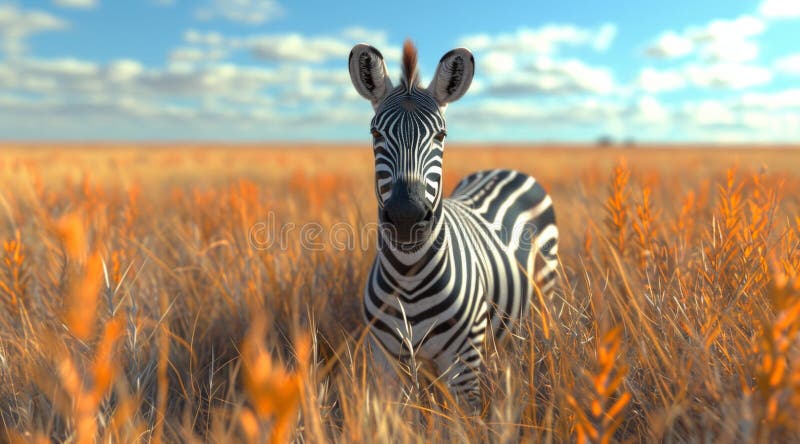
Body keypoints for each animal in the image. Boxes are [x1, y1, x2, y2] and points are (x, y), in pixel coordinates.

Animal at [348, 40, 559, 411]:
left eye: (441, 134)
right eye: (375, 132)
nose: (406, 217)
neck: (408, 277)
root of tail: (506, 169)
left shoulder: (464, 365)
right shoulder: (386, 363)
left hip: (544, 291)